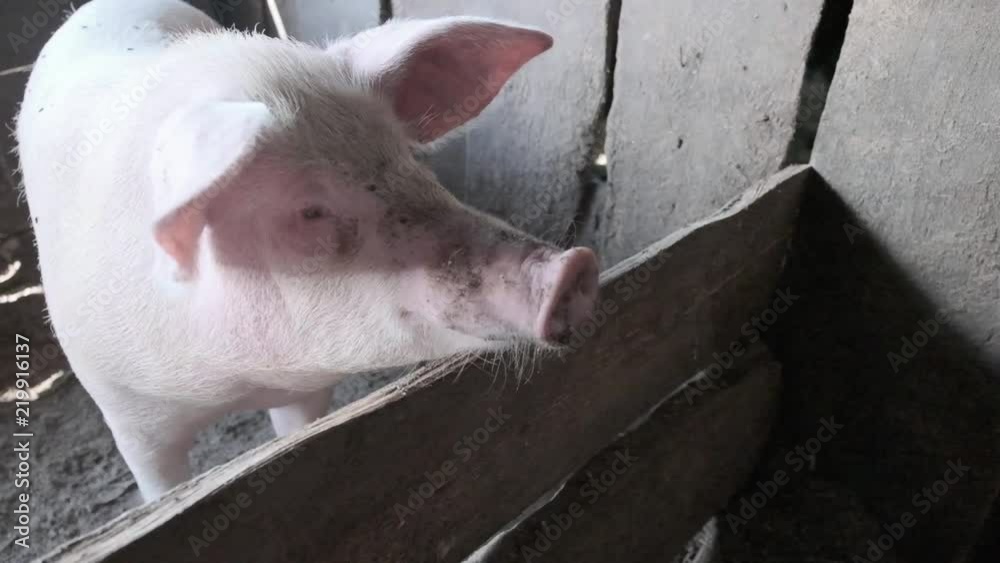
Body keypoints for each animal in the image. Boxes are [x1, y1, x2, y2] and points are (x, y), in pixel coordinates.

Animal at [15, 0, 599, 501]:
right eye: (309, 211)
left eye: (409, 160)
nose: (573, 266)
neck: (236, 380)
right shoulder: (126, 410)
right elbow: (160, 489)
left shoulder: (307, 391)